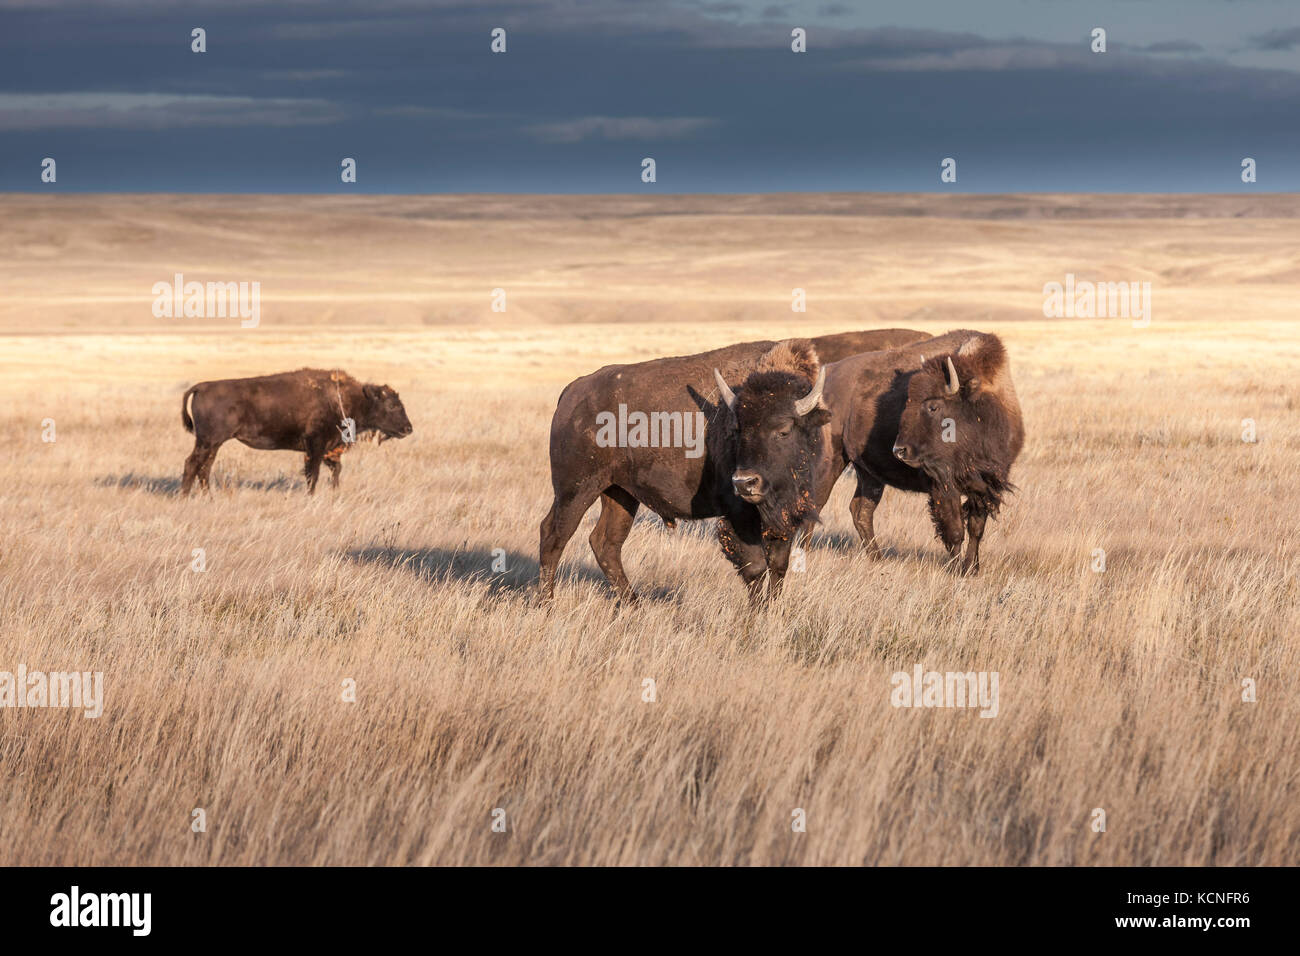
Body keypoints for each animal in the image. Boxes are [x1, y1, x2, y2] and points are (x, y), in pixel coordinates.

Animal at [180, 368, 412, 494]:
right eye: (392, 405)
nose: (408, 428)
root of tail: (202, 386)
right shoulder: (315, 446)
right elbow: (313, 474)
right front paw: (311, 496)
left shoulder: (328, 449)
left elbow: (335, 470)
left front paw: (335, 492)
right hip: (208, 441)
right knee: (192, 464)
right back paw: (185, 497)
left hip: (214, 443)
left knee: (204, 468)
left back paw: (208, 497)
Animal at [539, 328, 930, 603]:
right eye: (737, 428)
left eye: (783, 429)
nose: (746, 482)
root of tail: (572, 392)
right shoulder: (738, 515)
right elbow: (755, 567)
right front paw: (754, 619)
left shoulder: (783, 516)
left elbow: (778, 566)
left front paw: (772, 611)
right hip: (576, 489)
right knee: (553, 536)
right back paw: (547, 606)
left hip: (620, 494)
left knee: (605, 543)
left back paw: (633, 605)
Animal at [714, 329, 1023, 584]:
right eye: (908, 401)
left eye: (933, 406)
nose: (900, 450)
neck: (985, 407)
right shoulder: (942, 484)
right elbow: (955, 529)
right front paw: (957, 569)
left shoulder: (986, 486)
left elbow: (976, 528)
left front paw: (972, 569)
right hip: (830, 465)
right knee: (813, 510)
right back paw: (804, 559)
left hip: (868, 473)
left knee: (860, 510)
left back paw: (877, 558)